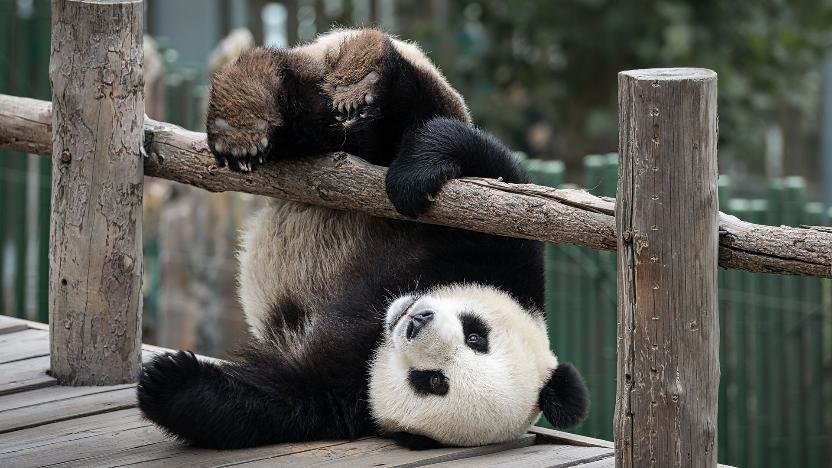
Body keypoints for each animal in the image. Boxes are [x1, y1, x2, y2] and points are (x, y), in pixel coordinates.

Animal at [137, 28, 588, 450]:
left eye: (433, 382)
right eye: (477, 335)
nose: (416, 320)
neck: (379, 322)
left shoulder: (348, 396)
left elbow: (275, 400)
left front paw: (167, 381)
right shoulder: (507, 256)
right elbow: (486, 166)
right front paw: (413, 178)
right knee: (388, 114)